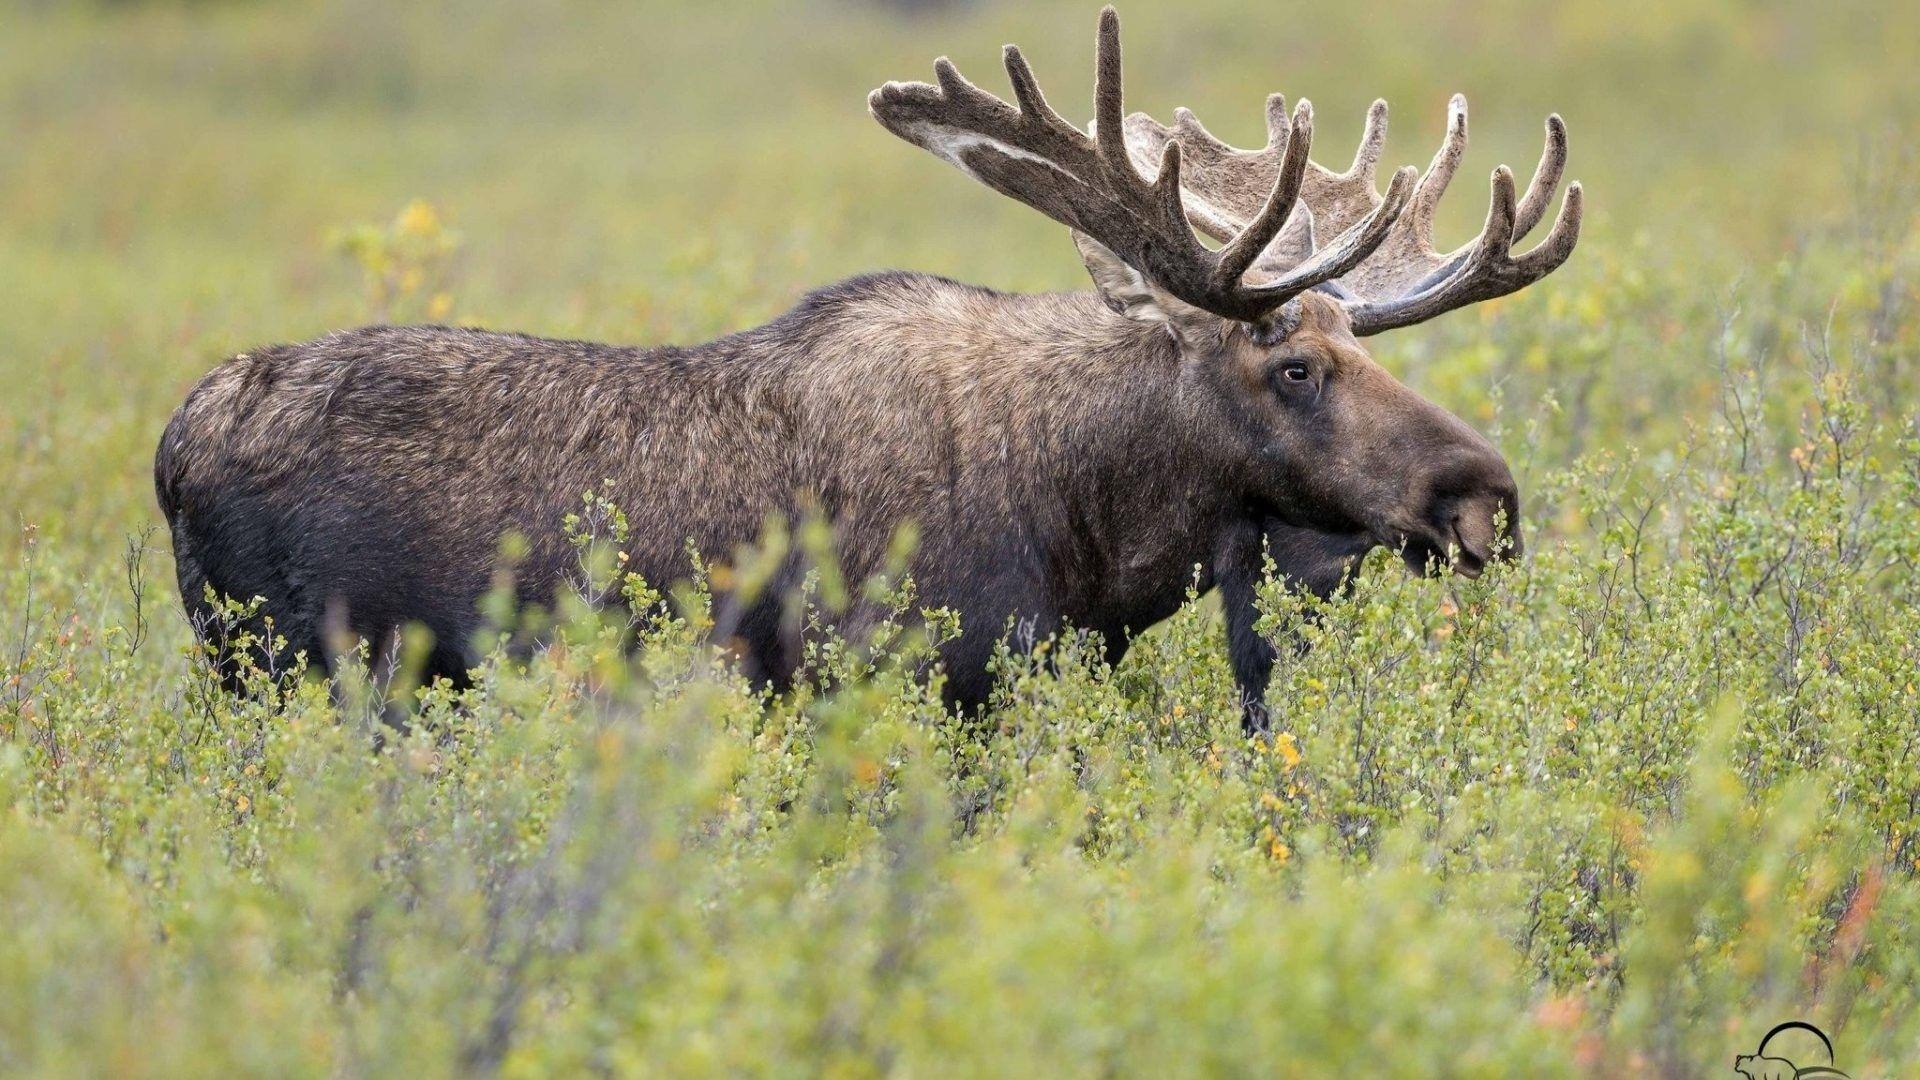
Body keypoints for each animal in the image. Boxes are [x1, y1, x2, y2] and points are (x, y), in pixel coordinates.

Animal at [155, 7, 1582, 732]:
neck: (1094, 521)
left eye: (1352, 343)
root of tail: (173, 449)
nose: (1486, 497)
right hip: (289, 672)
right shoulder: (895, 676)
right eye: (1292, 368)